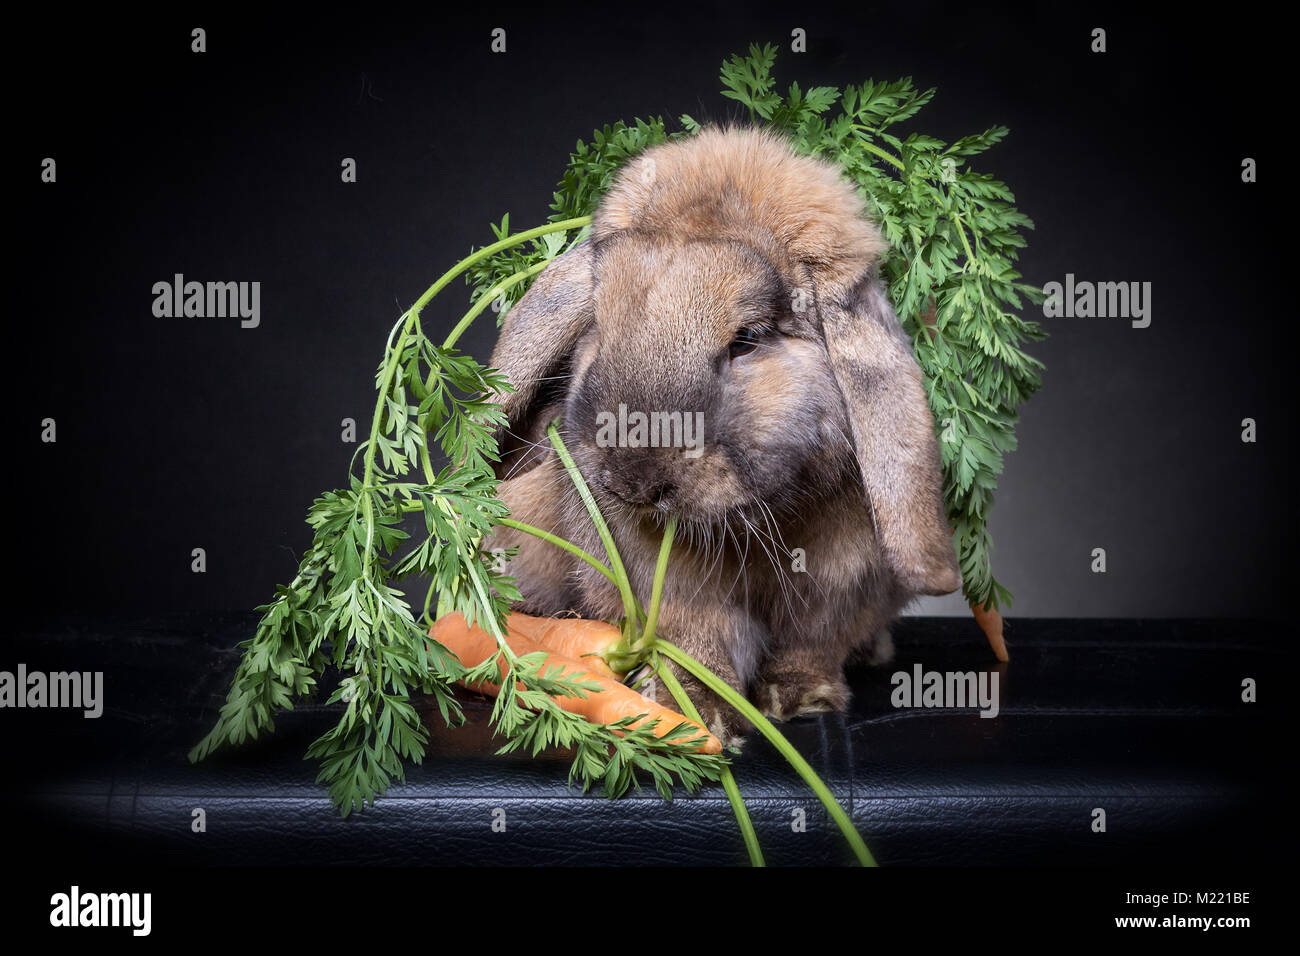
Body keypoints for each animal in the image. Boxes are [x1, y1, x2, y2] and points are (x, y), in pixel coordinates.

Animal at [483, 125, 961, 746]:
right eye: (600, 328)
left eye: (749, 338)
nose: (632, 482)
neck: (765, 522)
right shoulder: (671, 592)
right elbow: (696, 644)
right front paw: (698, 714)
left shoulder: (843, 588)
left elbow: (812, 647)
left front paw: (800, 701)